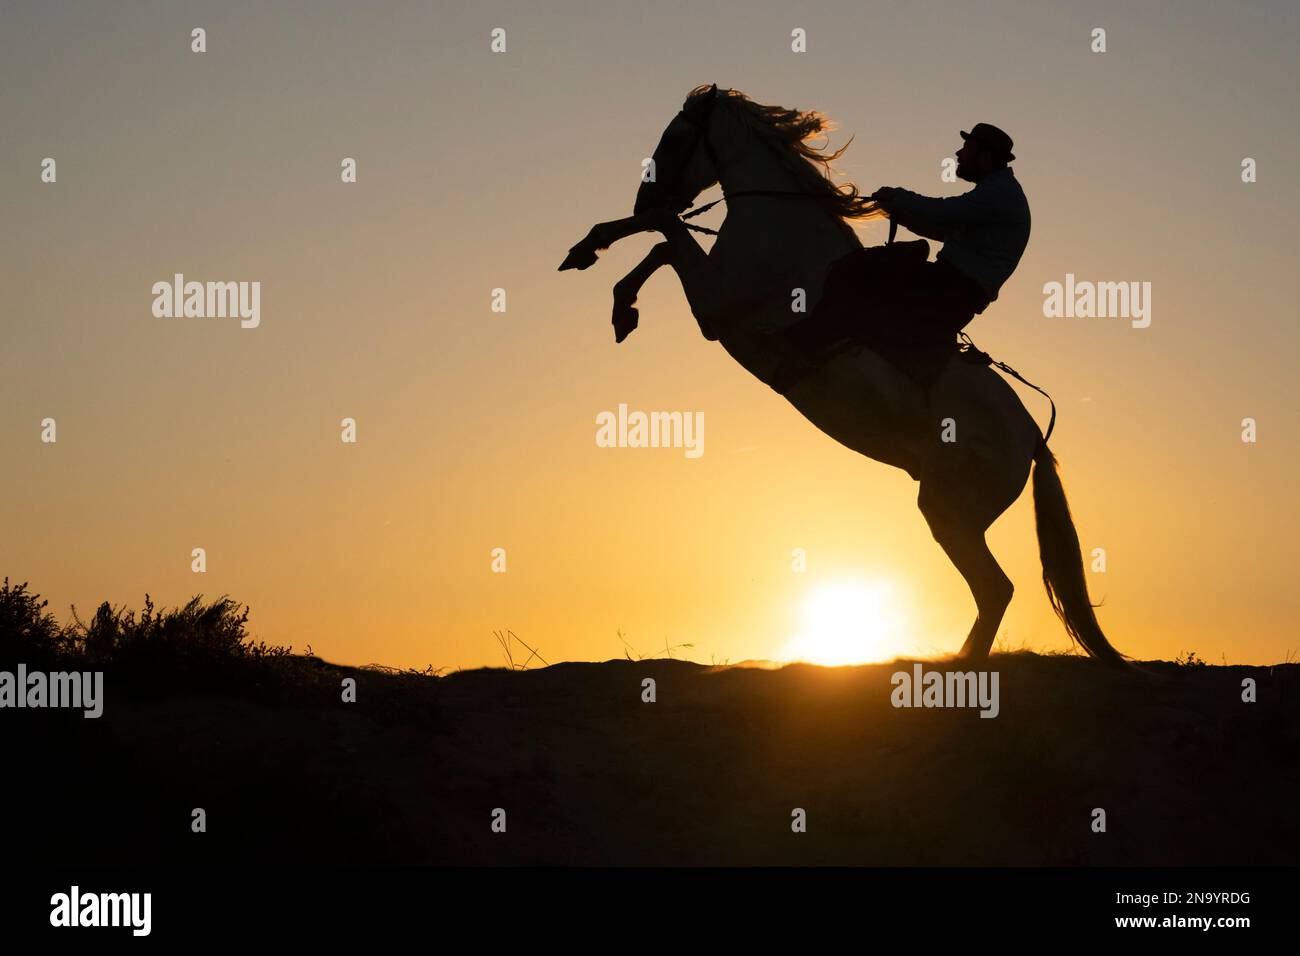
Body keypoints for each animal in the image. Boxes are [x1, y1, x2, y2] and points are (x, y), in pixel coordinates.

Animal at [559, 84, 1126, 667]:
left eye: (674, 138)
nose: (641, 197)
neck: (782, 227)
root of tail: (1031, 438)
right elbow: (661, 240)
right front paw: (611, 289)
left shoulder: (716, 305)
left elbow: (666, 232)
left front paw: (605, 273)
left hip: (950, 511)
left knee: (996, 588)